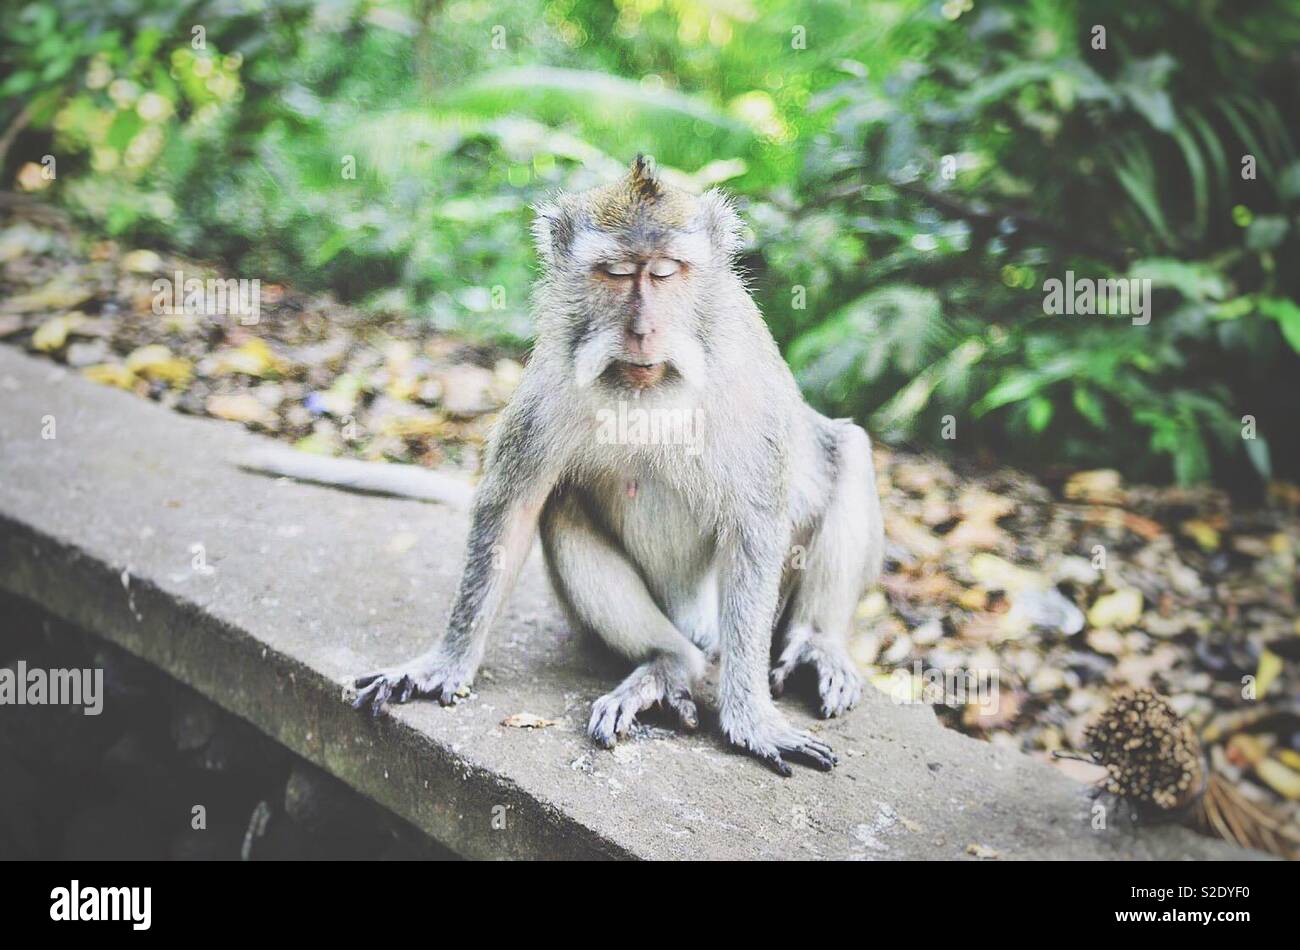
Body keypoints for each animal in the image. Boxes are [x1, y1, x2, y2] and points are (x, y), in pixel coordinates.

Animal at [242, 156, 885, 775]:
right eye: (616, 273)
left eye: (666, 271)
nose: (643, 330)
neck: (650, 395)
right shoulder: (550, 384)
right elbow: (514, 508)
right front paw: (444, 663)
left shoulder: (746, 391)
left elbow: (755, 525)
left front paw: (750, 719)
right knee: (563, 506)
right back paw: (667, 664)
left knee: (847, 451)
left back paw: (818, 644)